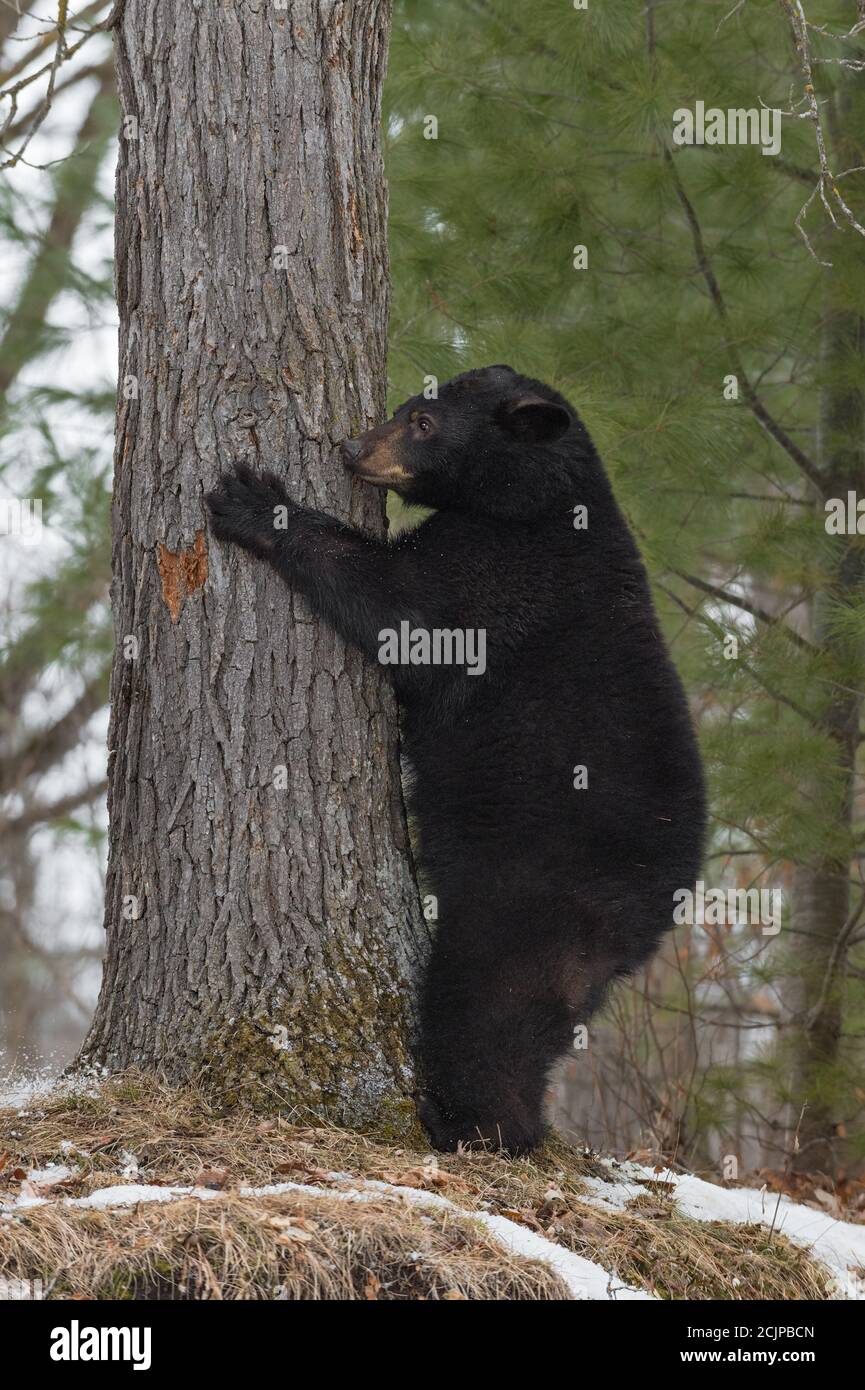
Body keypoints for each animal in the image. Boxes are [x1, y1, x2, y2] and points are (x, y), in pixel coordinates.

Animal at [206, 364, 706, 1154]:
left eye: (423, 423)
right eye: (412, 403)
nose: (352, 448)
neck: (536, 505)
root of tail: (662, 901)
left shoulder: (503, 580)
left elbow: (405, 610)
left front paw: (256, 502)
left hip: (528, 891)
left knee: (488, 1003)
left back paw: (473, 1120)